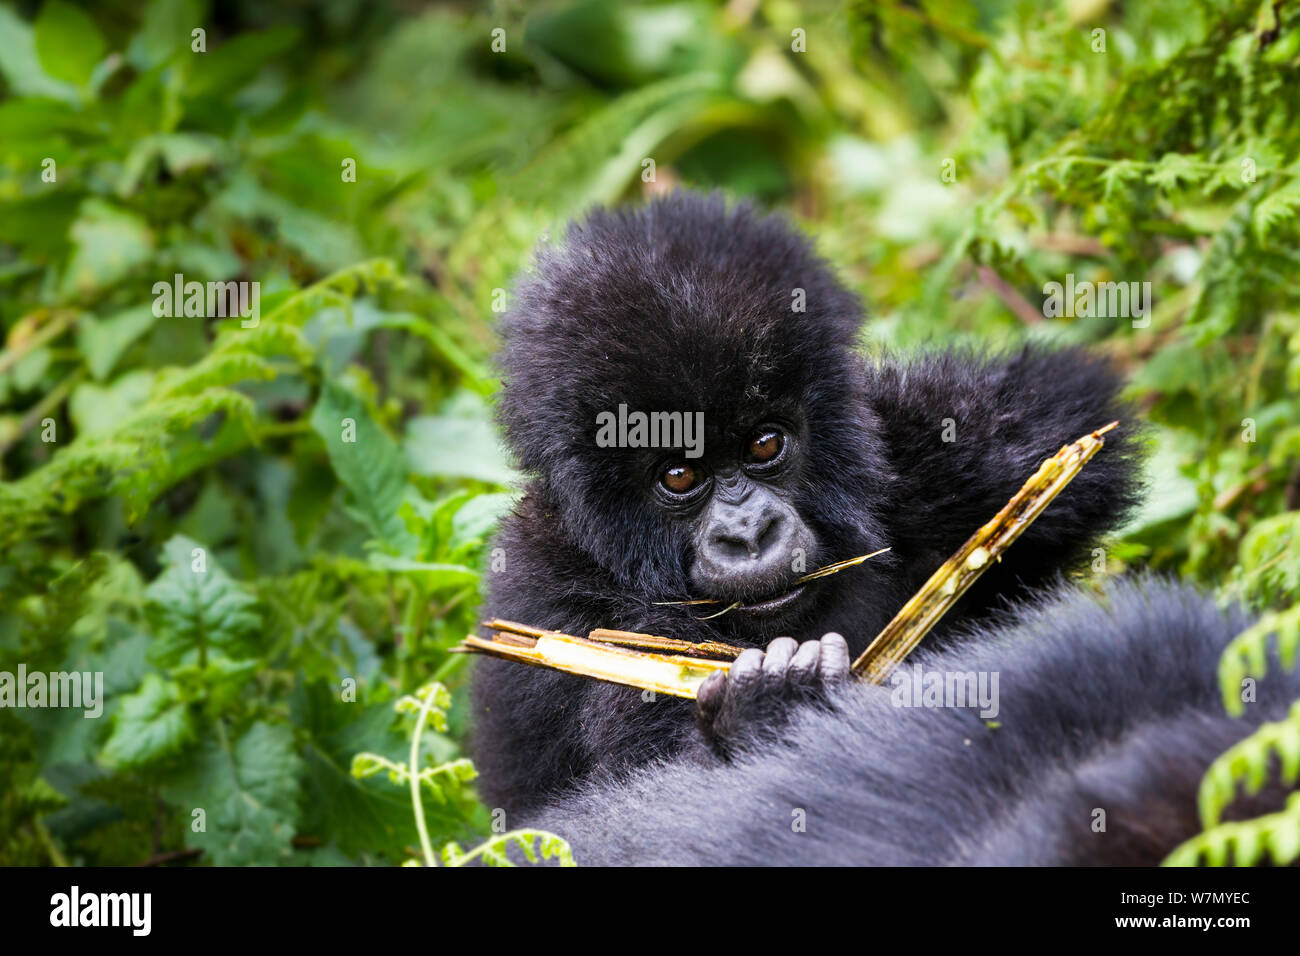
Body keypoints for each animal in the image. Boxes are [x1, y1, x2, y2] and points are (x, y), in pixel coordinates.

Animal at [470, 190, 1145, 820]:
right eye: (680, 475)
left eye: (764, 443)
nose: (748, 533)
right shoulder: (544, 591)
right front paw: (771, 709)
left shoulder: (917, 434)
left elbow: (1069, 415)